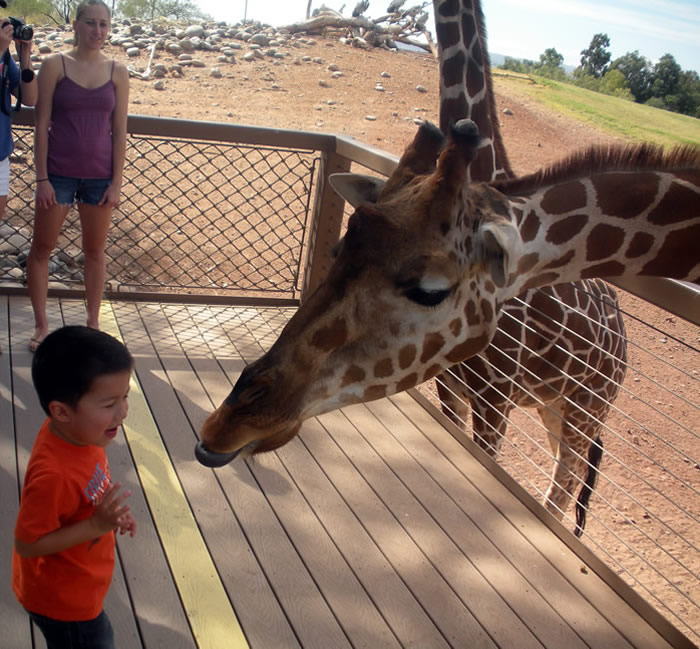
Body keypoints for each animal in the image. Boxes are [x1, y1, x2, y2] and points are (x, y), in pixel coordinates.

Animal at [430, 0, 628, 534]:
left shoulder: (495, 390)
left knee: (567, 480)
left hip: (588, 406)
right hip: (555, 404)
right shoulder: (450, 379)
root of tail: (624, 348)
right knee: (569, 474)